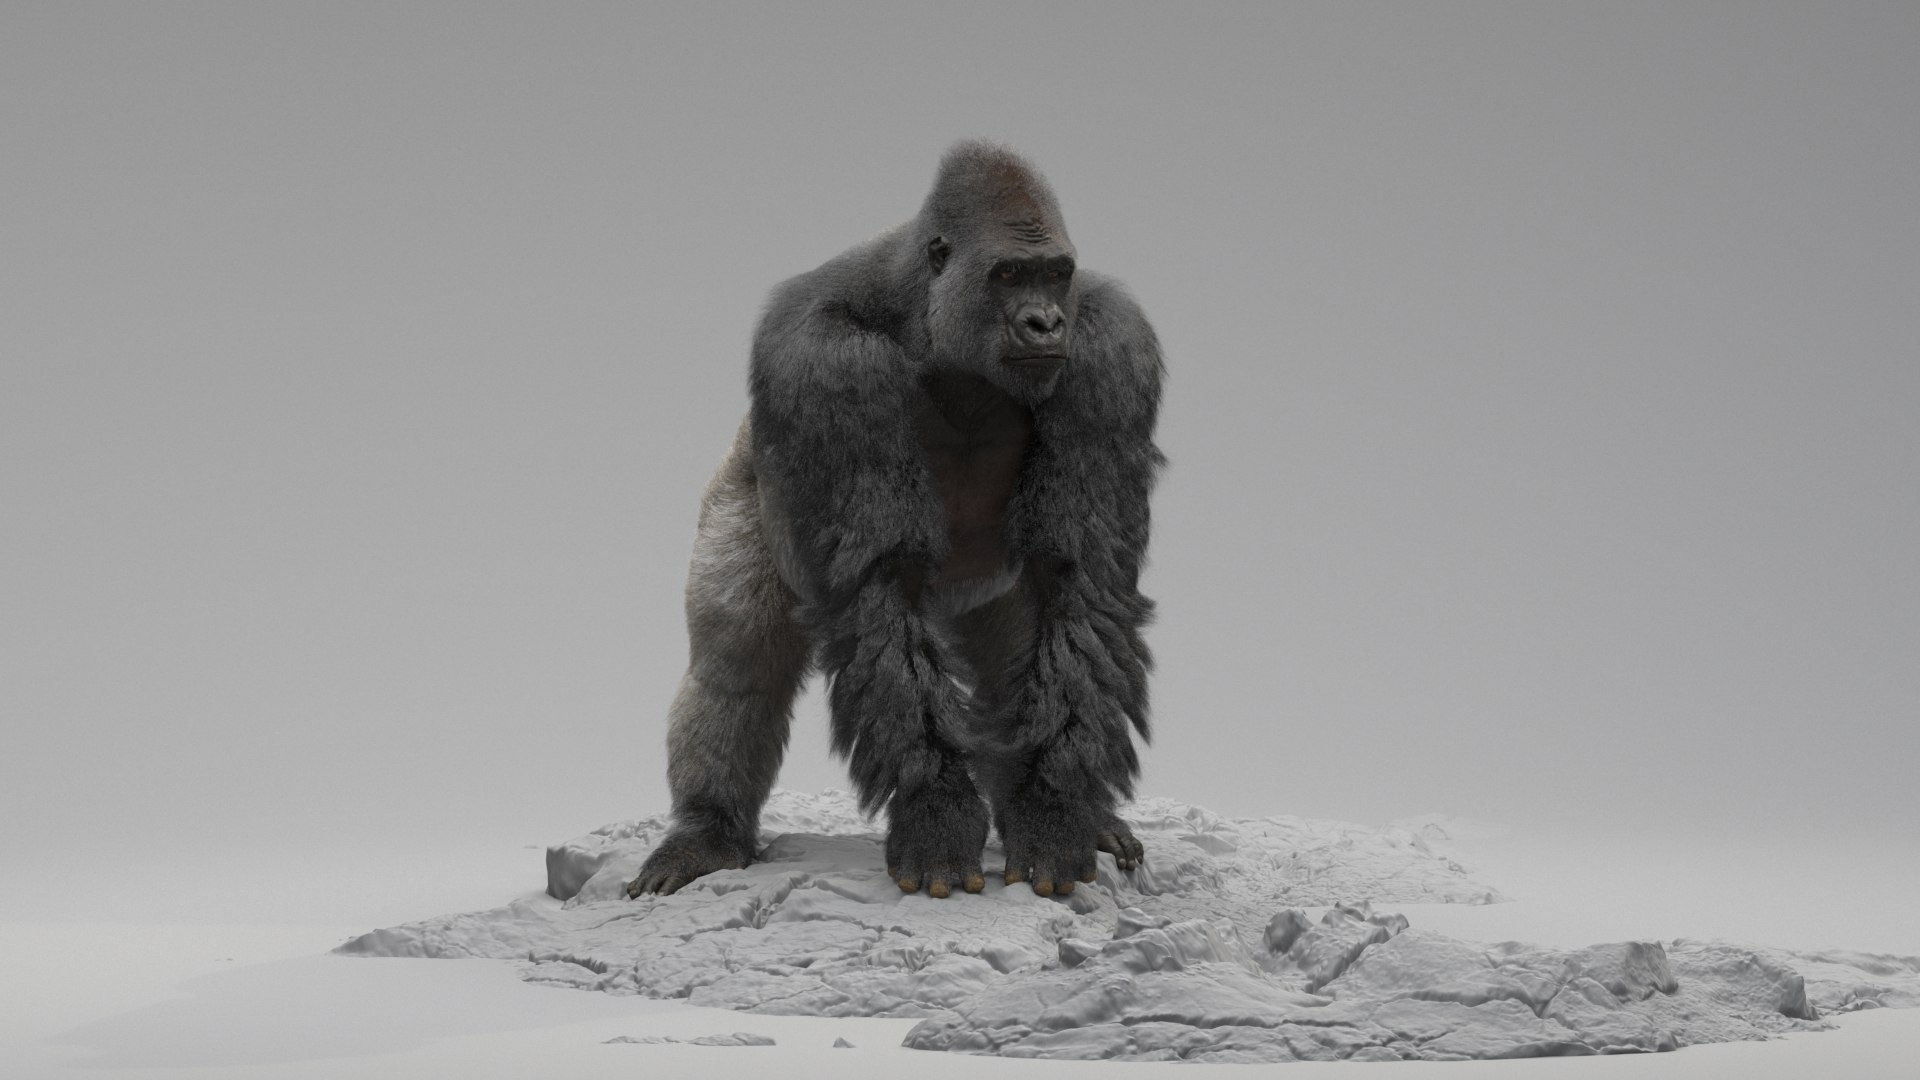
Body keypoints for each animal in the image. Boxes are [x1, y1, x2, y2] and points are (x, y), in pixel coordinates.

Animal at [627, 140, 1164, 901]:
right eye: (1008, 274)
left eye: (1055, 275)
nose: (1044, 322)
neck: (928, 311)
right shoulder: (823, 357)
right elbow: (879, 586)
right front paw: (936, 818)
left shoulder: (1111, 344)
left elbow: (1077, 577)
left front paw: (1055, 814)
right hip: (740, 490)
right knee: (736, 660)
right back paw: (706, 831)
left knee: (1011, 672)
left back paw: (1083, 814)